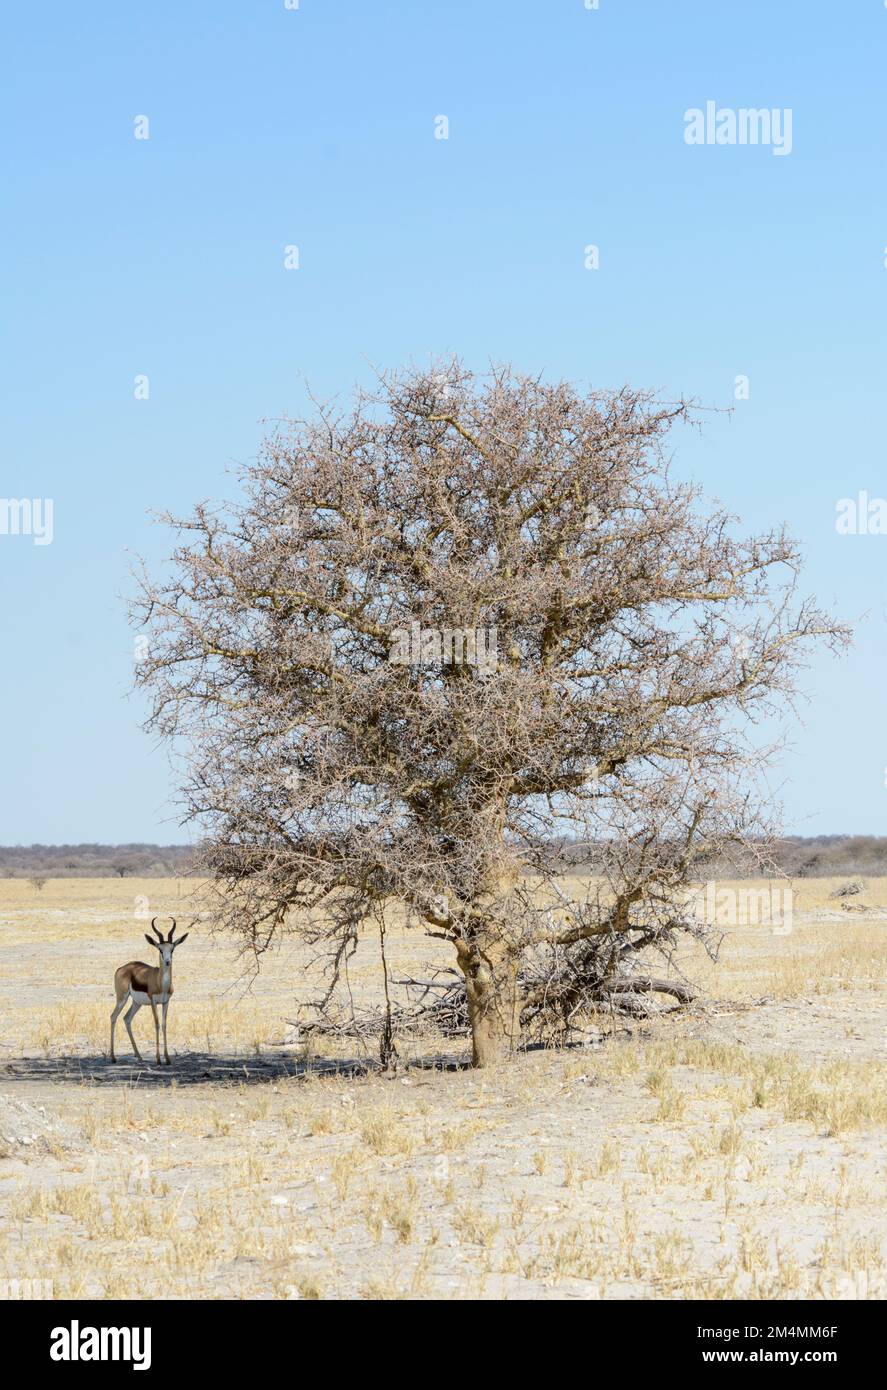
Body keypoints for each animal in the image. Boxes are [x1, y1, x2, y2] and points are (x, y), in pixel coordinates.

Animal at [110, 918, 189, 1065]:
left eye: (172, 949)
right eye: (160, 949)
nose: (168, 962)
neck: (160, 983)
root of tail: (122, 968)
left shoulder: (166, 1002)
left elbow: (164, 1025)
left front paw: (167, 1058)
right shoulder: (153, 1001)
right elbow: (156, 1024)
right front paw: (158, 1059)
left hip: (136, 1003)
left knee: (127, 1018)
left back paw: (139, 1056)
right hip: (122, 998)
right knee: (113, 1017)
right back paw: (112, 1057)